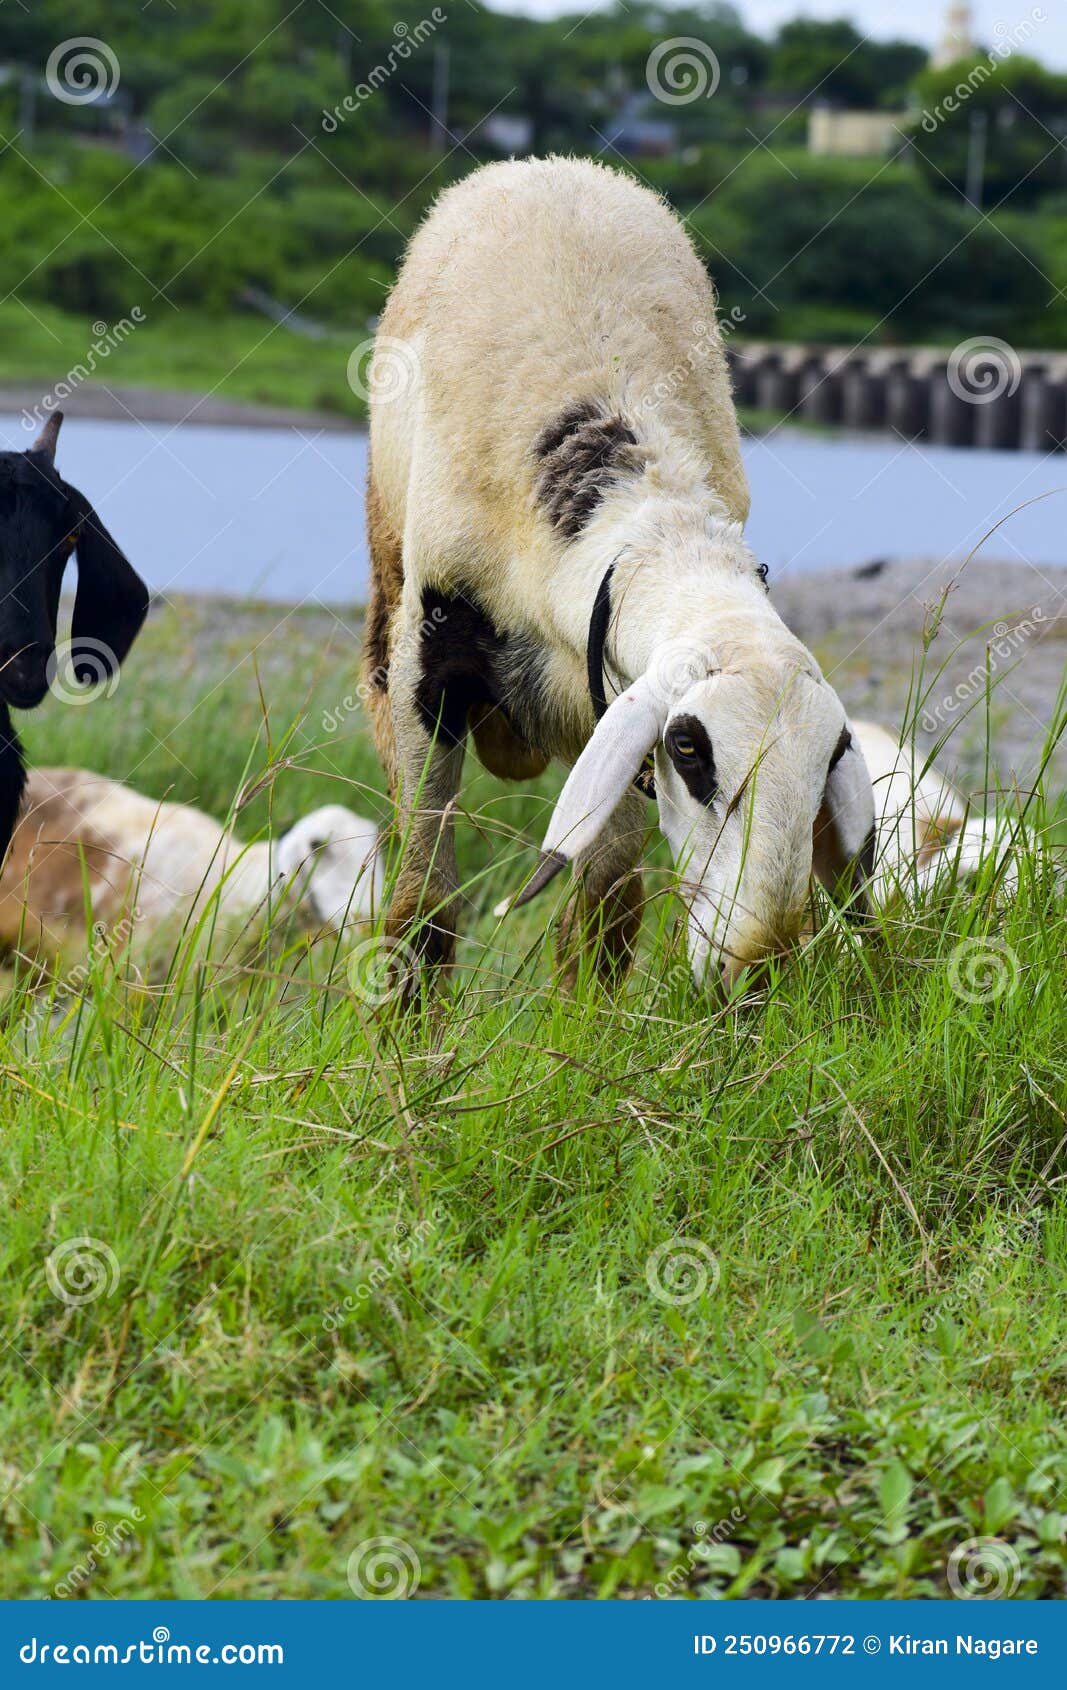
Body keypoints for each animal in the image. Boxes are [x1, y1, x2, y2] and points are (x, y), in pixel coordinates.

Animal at [364, 156, 876, 994]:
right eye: (689, 749)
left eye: (832, 759)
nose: (752, 970)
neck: (642, 512)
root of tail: (551, 165)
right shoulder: (427, 667)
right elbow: (422, 911)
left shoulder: (613, 698)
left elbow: (603, 909)